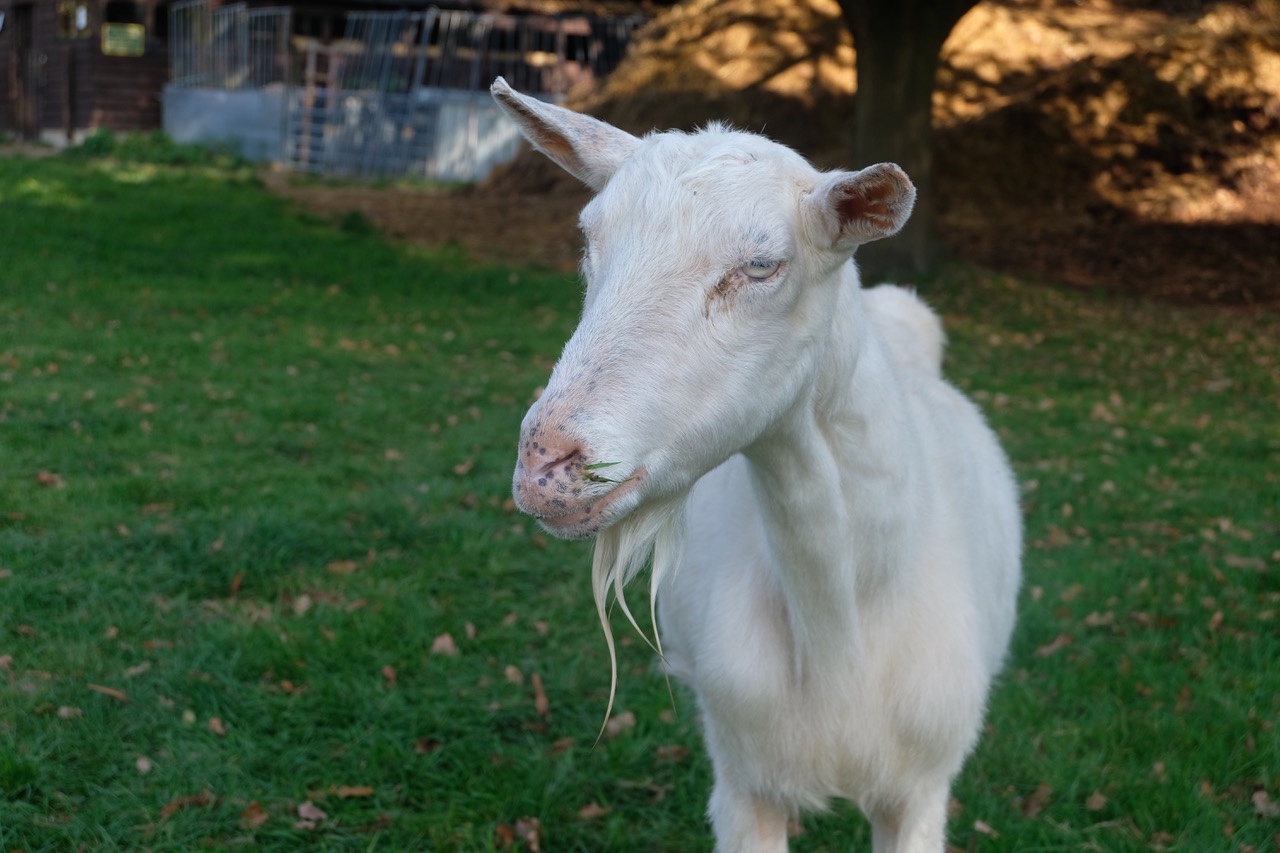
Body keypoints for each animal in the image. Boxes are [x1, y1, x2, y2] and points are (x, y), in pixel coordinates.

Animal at [493, 78, 1022, 853]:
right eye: (589, 239)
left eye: (762, 265)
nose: (548, 464)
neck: (841, 629)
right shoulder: (745, 778)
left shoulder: (921, 788)